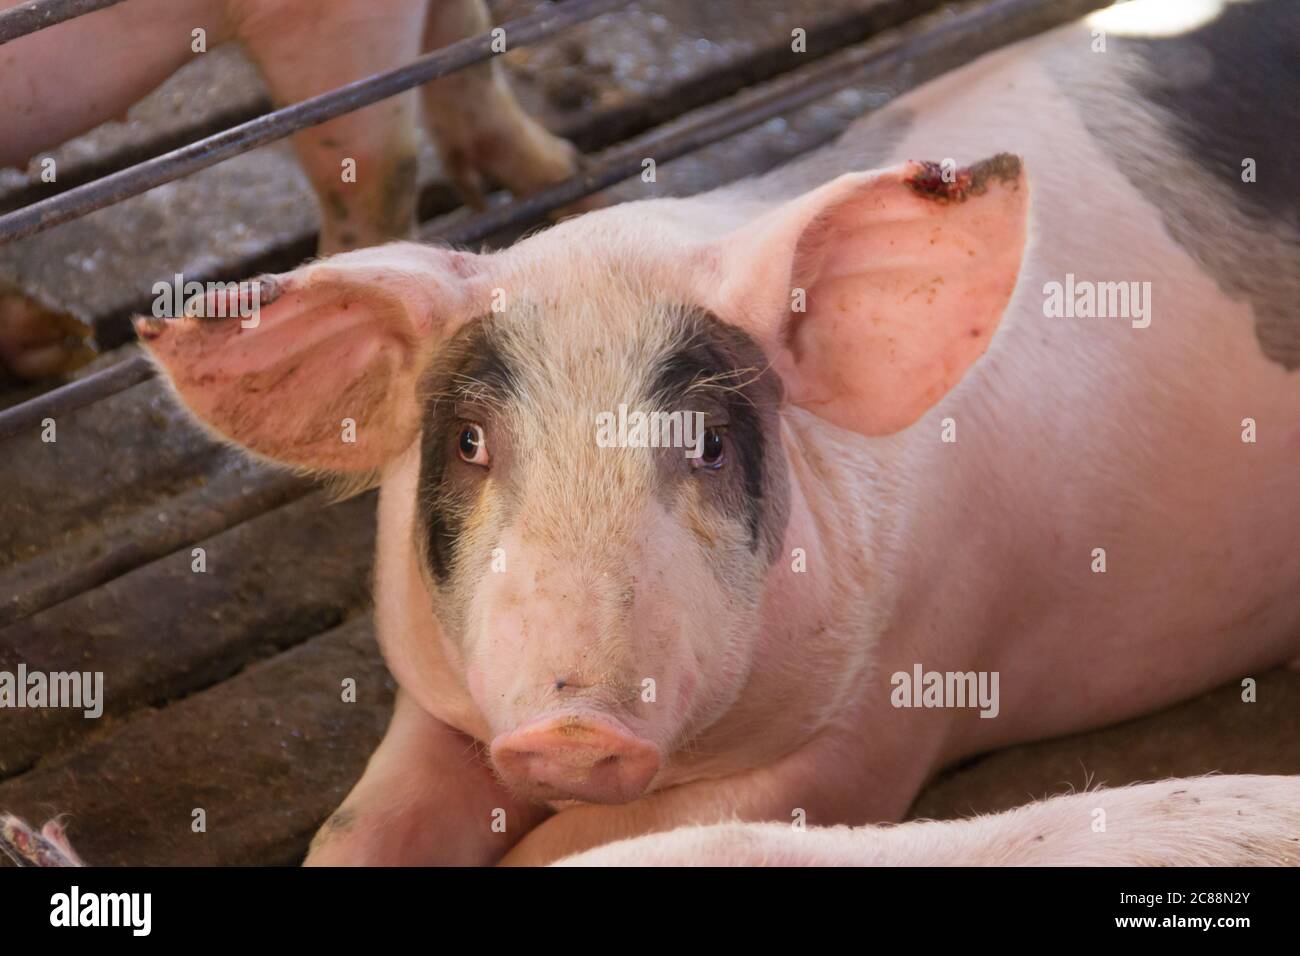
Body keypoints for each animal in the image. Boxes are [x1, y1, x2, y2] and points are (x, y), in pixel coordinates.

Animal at [132, 0, 1299, 866]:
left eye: (709, 446)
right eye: (466, 442)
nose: (572, 727)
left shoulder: (880, 716)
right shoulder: (439, 698)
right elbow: (357, 828)